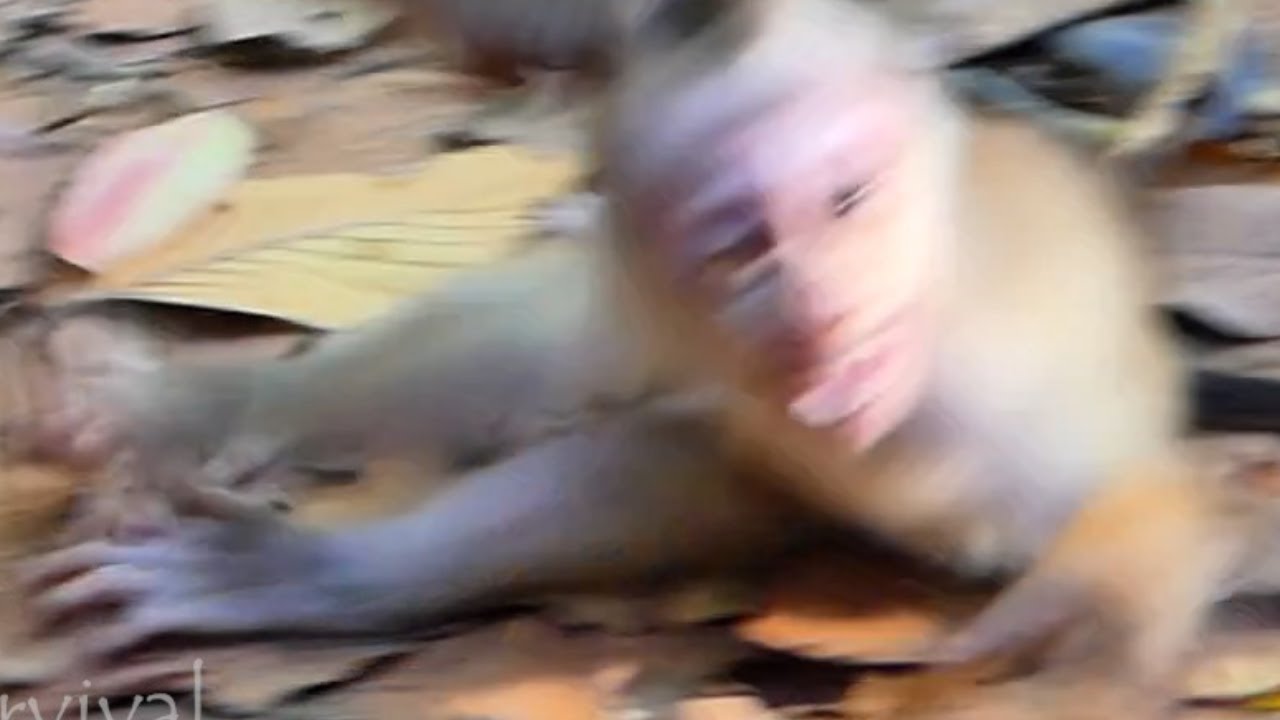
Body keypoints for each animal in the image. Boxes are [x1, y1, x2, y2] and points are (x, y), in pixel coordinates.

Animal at [18, 0, 1280, 716]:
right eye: (742, 245)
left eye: (848, 201)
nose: (818, 302)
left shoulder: (998, 390)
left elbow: (1141, 503)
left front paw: (1090, 617)